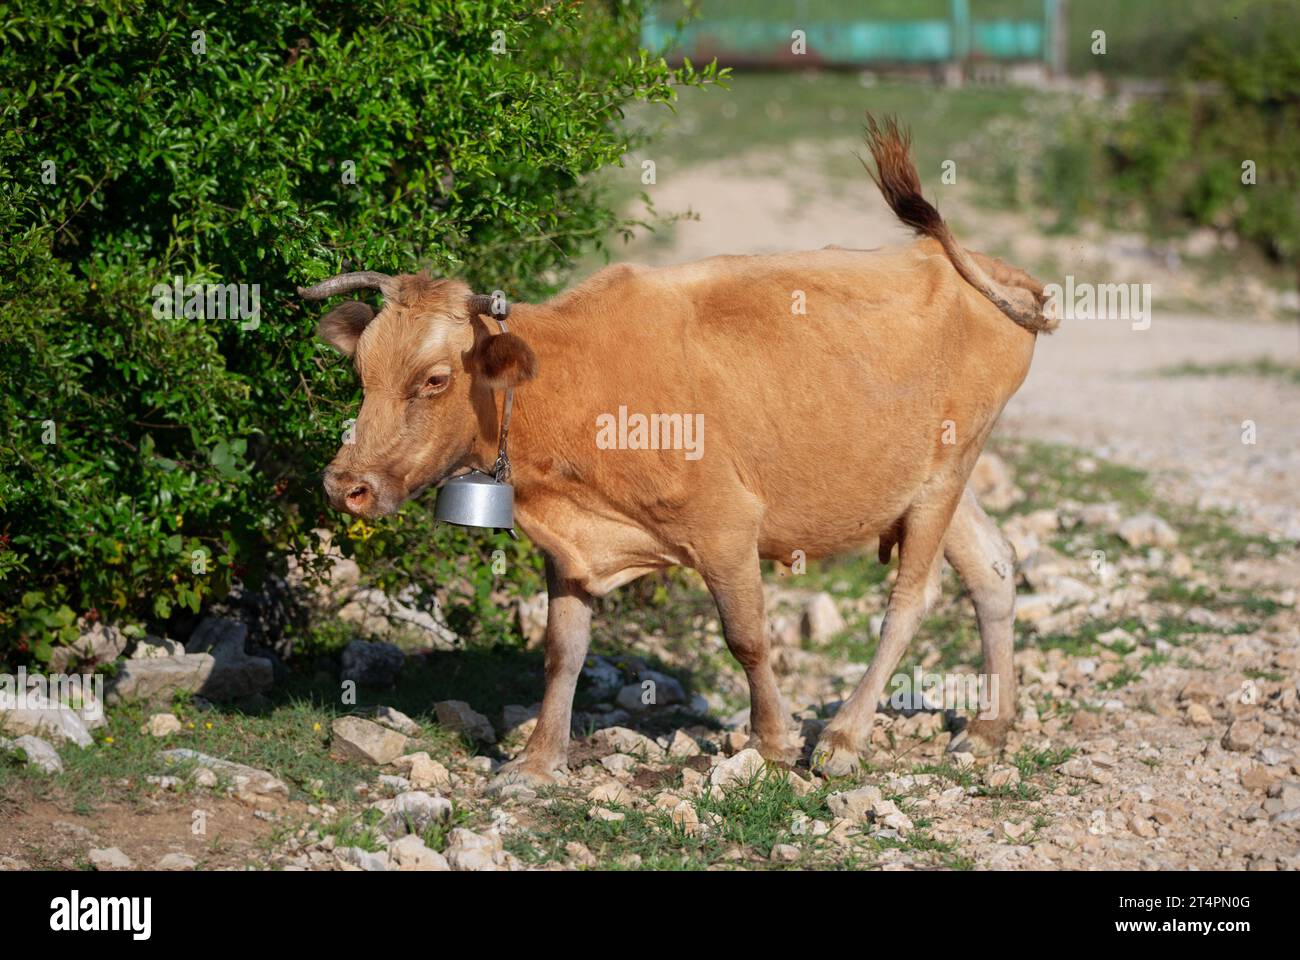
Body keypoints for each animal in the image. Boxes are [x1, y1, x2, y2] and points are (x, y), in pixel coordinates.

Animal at [301, 116, 1056, 786]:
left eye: (434, 379)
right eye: (361, 371)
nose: (345, 486)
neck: (571, 382)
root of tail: (973, 266)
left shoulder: (727, 525)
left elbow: (747, 636)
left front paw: (773, 743)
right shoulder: (569, 545)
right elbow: (562, 652)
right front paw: (537, 764)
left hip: (940, 480)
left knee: (911, 596)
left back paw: (843, 737)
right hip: (935, 473)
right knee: (992, 568)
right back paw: (988, 728)